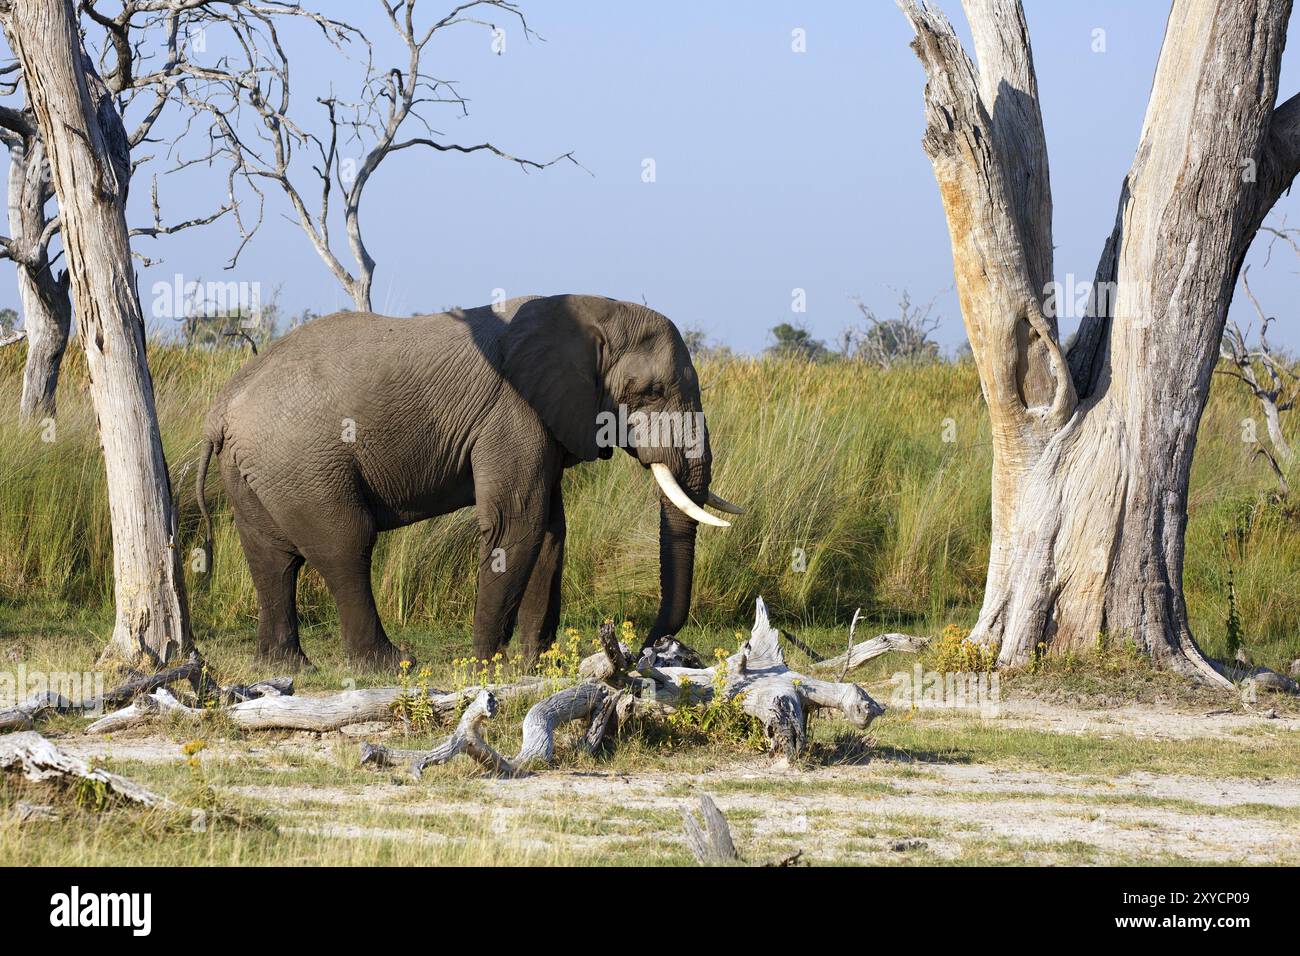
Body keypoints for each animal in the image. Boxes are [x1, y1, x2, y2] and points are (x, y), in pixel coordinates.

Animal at [195, 294, 742, 670]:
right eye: (651, 391)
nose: (650, 648)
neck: (593, 309)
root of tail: (221, 409)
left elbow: (549, 530)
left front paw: (534, 665)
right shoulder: (512, 413)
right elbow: (516, 525)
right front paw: (487, 666)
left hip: (259, 468)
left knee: (272, 556)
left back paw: (286, 665)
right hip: (301, 460)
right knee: (345, 544)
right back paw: (391, 665)